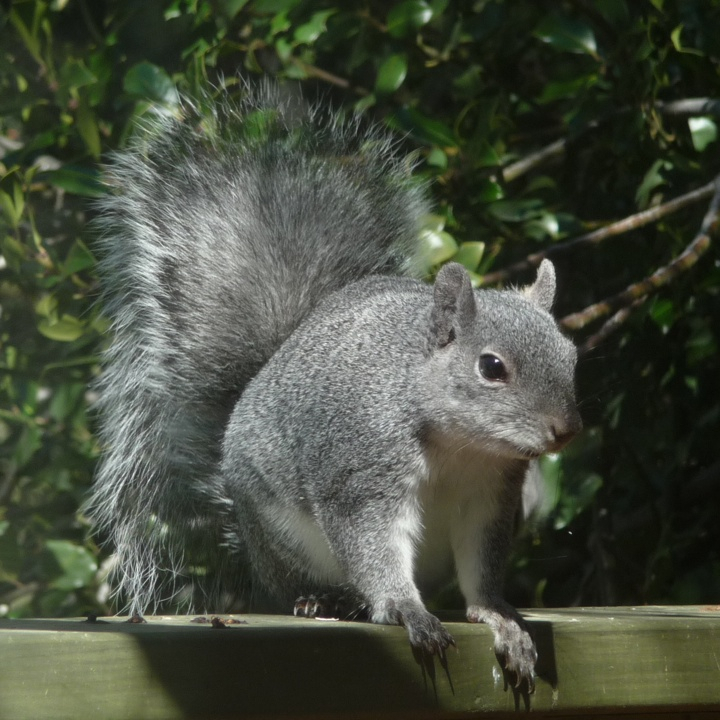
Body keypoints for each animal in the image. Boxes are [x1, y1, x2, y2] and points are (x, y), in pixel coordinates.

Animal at [88, 83, 582, 691]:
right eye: (491, 367)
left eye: (571, 355)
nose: (565, 431)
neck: (460, 443)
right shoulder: (362, 470)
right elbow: (372, 545)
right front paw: (405, 609)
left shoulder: (491, 496)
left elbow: (482, 567)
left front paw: (500, 619)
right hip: (283, 538)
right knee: (306, 581)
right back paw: (322, 600)